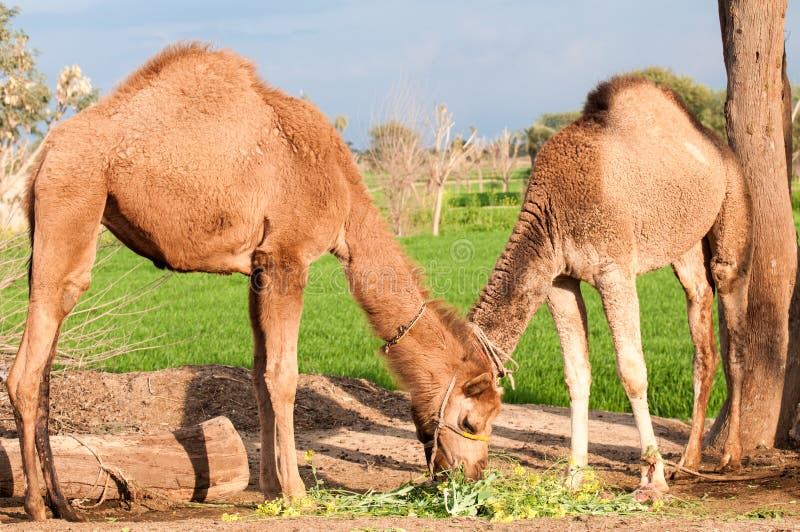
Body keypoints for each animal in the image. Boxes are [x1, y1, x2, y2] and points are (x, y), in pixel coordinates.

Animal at [6, 43, 503, 522]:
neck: (344, 198)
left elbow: (260, 373)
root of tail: (45, 154)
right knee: (29, 366)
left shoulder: (260, 268)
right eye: (472, 422)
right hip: (73, 197)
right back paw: (36, 505)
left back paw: (59, 503)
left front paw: (270, 488)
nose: (475, 475)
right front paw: (299, 494)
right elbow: (284, 374)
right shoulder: (288, 256)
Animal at [469, 76, 752, 492]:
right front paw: (573, 476)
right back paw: (689, 459)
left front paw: (653, 478)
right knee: (701, 324)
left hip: (733, 203)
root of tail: (715, 143)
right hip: (683, 246)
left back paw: (729, 455)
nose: (444, 470)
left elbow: (632, 370)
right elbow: (576, 374)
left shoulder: (614, 270)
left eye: (461, 417)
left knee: (731, 309)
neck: (552, 210)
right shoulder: (559, 278)